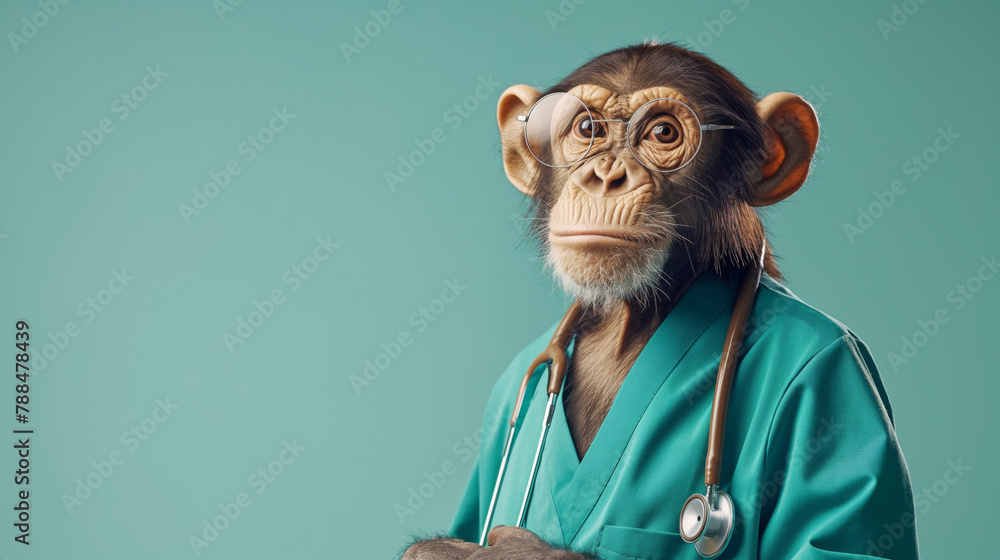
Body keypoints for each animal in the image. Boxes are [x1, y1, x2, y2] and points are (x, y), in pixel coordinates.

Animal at [402, 42, 917, 560]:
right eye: (587, 129)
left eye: (663, 132)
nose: (605, 176)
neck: (633, 319)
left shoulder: (831, 373)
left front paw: (502, 552)